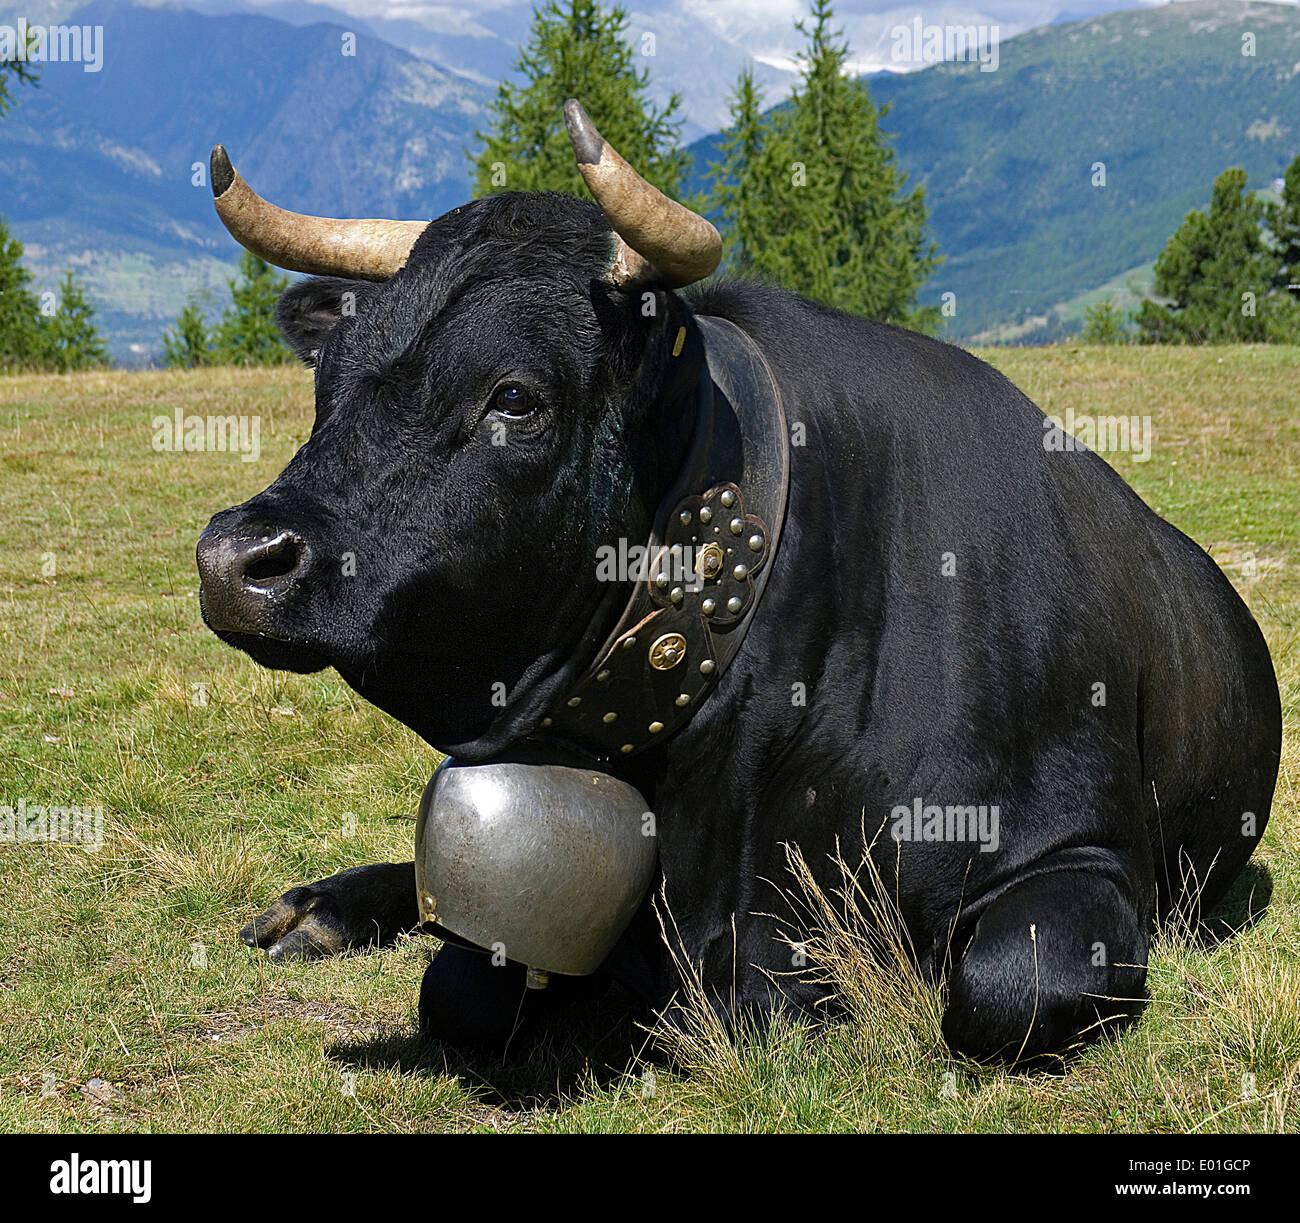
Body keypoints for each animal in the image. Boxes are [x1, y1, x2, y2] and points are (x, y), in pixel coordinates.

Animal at [196, 100, 1281, 1065]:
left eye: (514, 396)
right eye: (328, 380)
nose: (234, 557)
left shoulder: (1081, 852)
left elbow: (1000, 988)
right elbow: (462, 981)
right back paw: (315, 908)